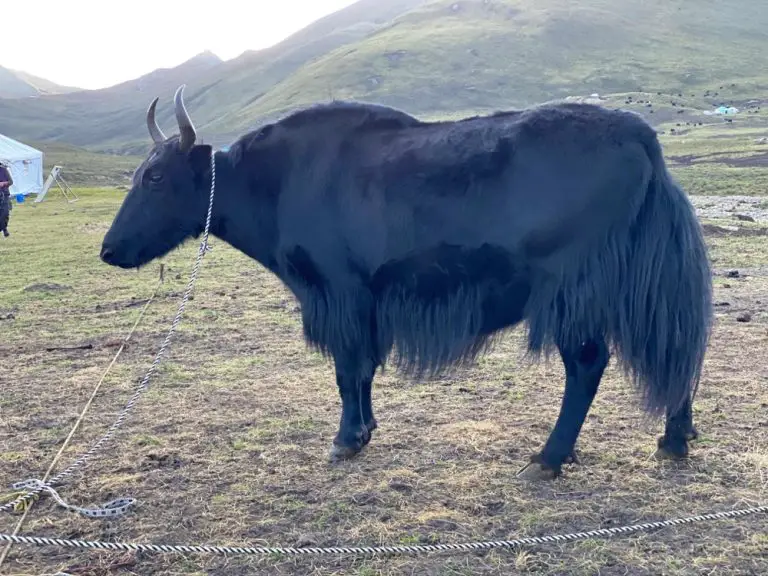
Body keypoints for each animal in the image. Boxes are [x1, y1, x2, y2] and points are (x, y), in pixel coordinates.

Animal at [100, 85, 713, 481]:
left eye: (155, 177)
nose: (110, 251)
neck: (272, 182)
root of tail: (642, 138)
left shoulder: (342, 294)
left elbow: (348, 370)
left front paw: (345, 441)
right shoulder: (368, 303)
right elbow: (364, 371)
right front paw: (366, 431)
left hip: (574, 289)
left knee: (589, 362)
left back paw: (547, 459)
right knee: (676, 343)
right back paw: (674, 440)